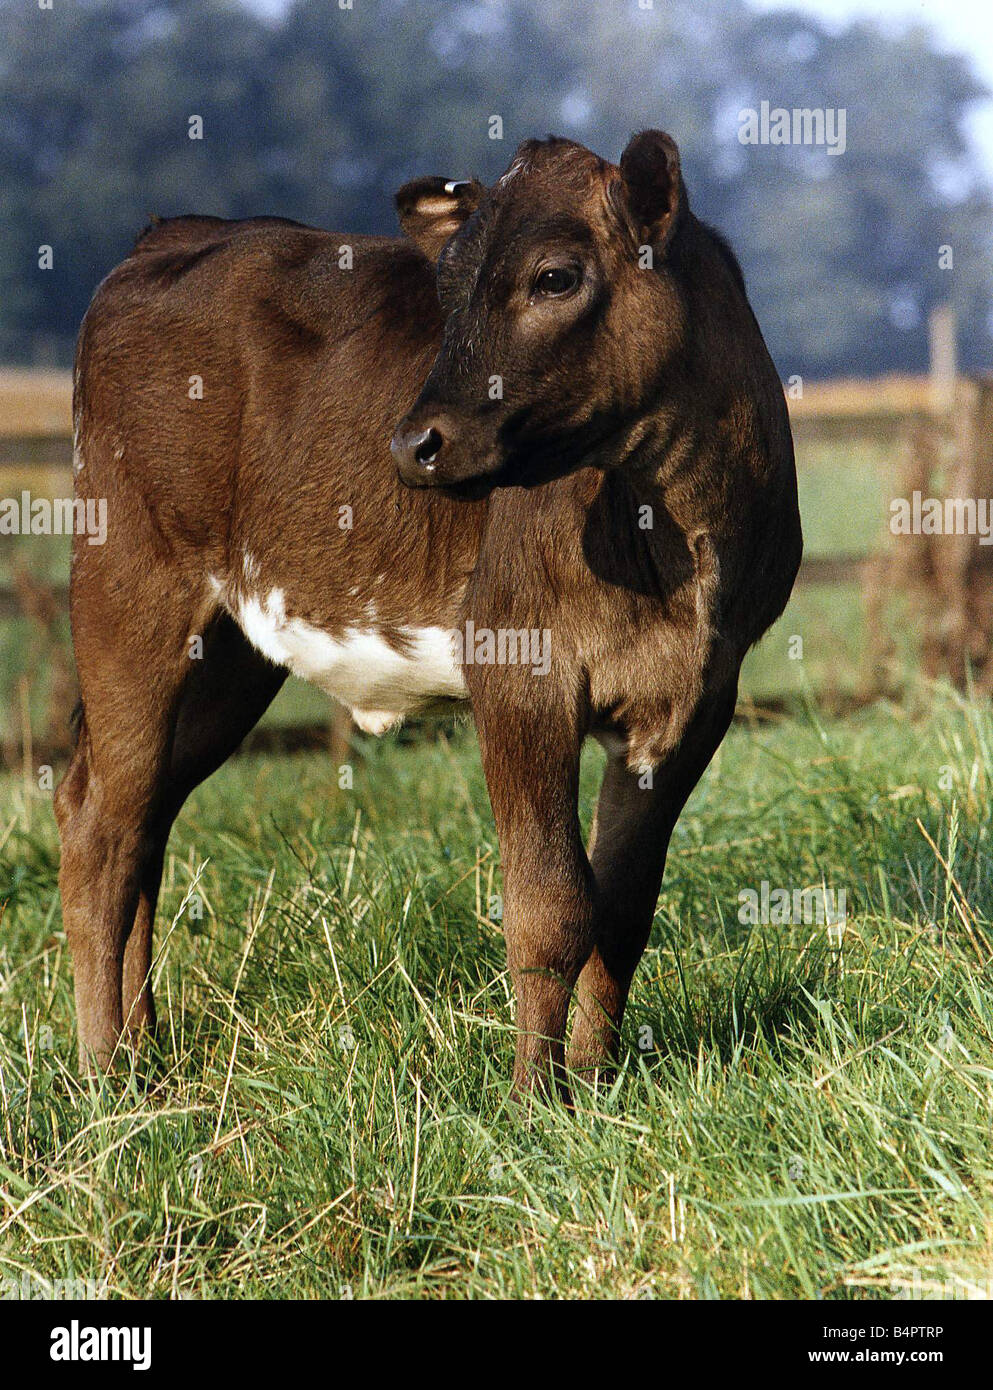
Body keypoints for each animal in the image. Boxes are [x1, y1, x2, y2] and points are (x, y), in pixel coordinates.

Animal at [56, 130, 802, 1102]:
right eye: (446, 291)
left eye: (555, 277)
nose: (415, 443)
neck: (672, 538)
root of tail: (176, 230)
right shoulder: (519, 665)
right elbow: (550, 904)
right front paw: (535, 1100)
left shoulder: (701, 692)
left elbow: (624, 907)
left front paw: (598, 1085)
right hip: (127, 585)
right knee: (100, 831)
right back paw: (105, 1075)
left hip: (228, 651)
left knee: (140, 817)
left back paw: (146, 1053)